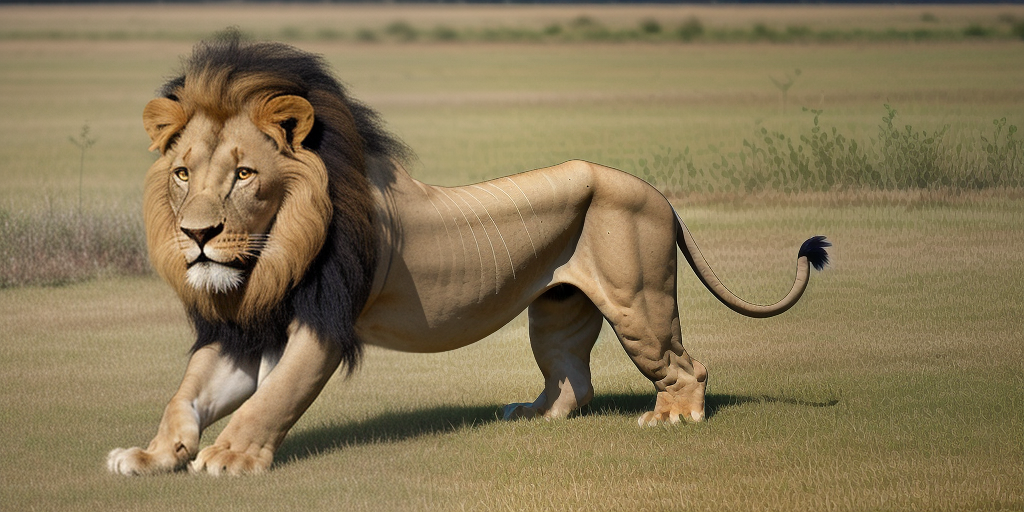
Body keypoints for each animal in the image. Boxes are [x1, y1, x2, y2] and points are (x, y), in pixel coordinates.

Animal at [107, 36, 829, 476]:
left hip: (639, 301)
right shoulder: (250, 324)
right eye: (182, 173)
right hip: (557, 309)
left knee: (686, 365)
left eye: (244, 175)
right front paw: (150, 455)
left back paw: (671, 418)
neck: (267, 259)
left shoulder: (323, 320)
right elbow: (187, 394)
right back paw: (531, 415)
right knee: (574, 380)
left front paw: (228, 458)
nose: (198, 235)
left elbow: (273, 398)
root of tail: (657, 192)